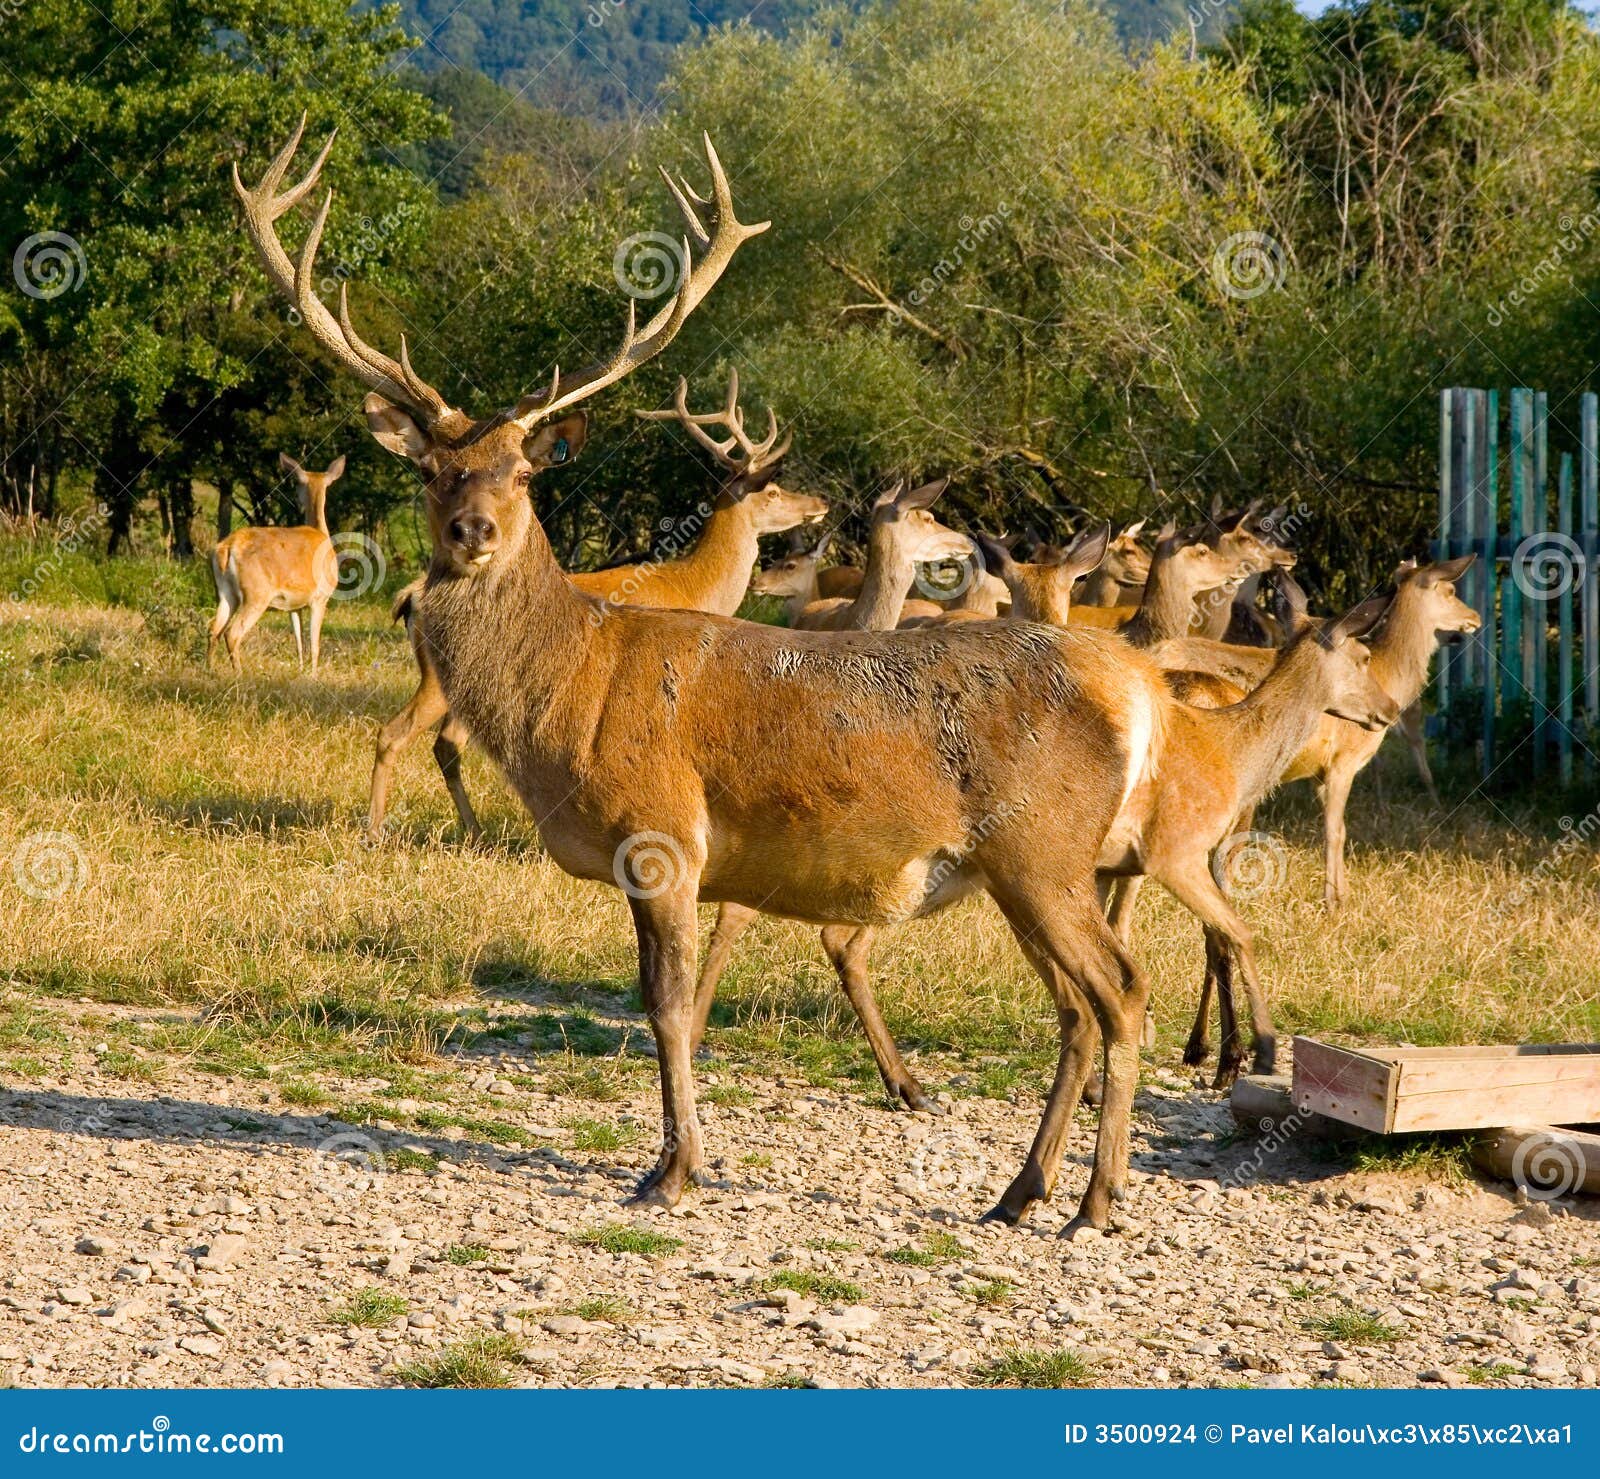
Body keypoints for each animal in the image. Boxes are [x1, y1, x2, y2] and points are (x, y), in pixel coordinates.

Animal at [207, 453, 343, 674]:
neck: (321, 533)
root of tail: (228, 547)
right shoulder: (320, 598)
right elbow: (314, 645)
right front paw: (314, 674)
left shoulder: (293, 606)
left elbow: (299, 642)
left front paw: (301, 670)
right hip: (256, 593)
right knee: (232, 632)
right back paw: (239, 673)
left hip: (225, 592)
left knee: (213, 629)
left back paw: (209, 670)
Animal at [366, 371, 828, 840]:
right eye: (773, 492)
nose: (820, 504)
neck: (695, 585)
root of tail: (409, 597)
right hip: (440, 681)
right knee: (399, 734)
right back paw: (383, 830)